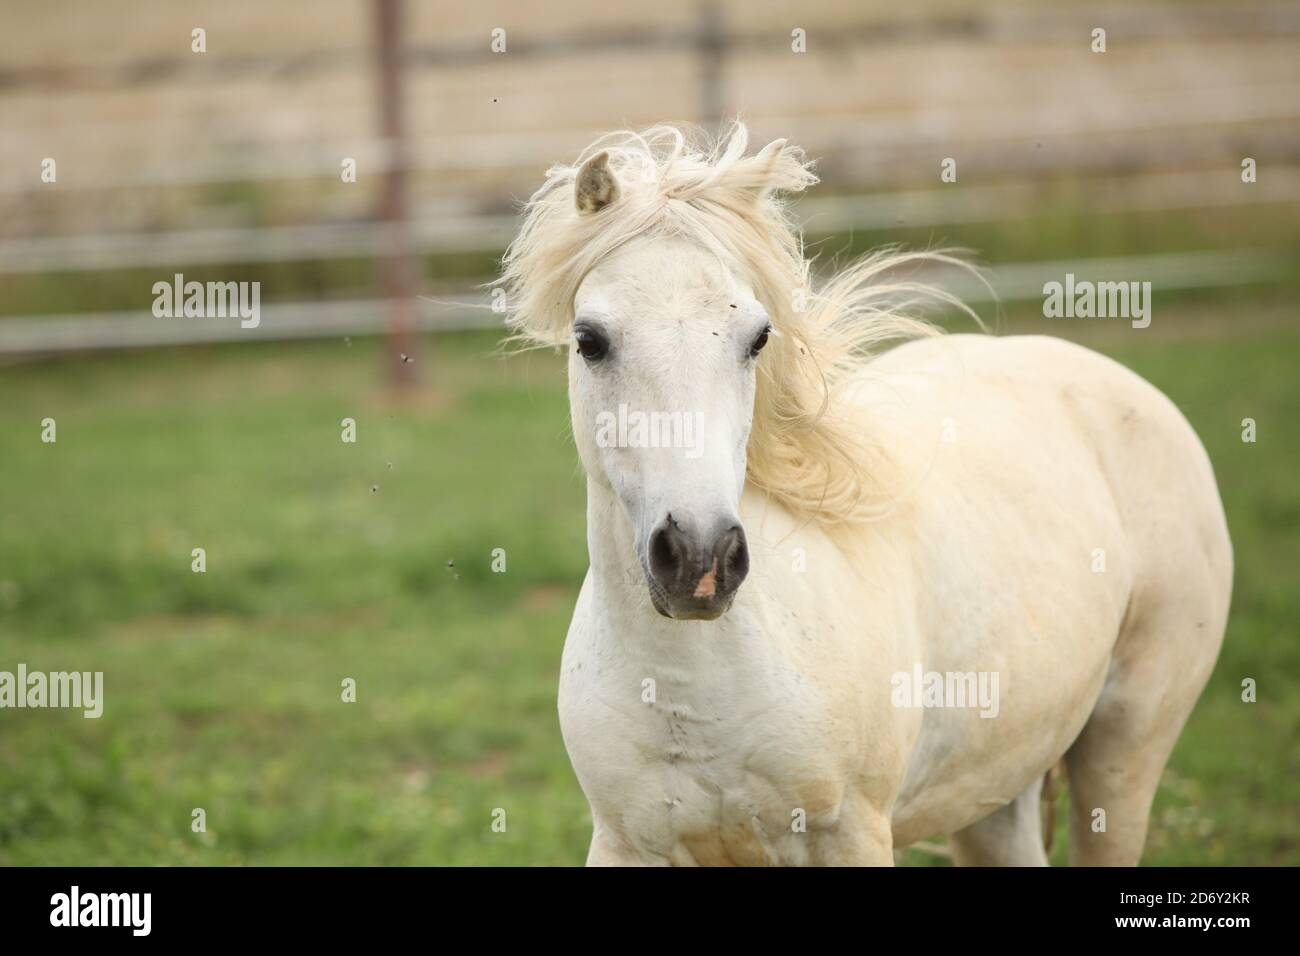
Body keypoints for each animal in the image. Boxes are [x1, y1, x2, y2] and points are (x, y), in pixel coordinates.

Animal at [499, 122, 1232, 866]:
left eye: (757, 338)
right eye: (590, 340)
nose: (701, 561)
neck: (692, 683)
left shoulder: (849, 833)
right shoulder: (627, 843)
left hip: (1124, 750)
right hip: (996, 785)